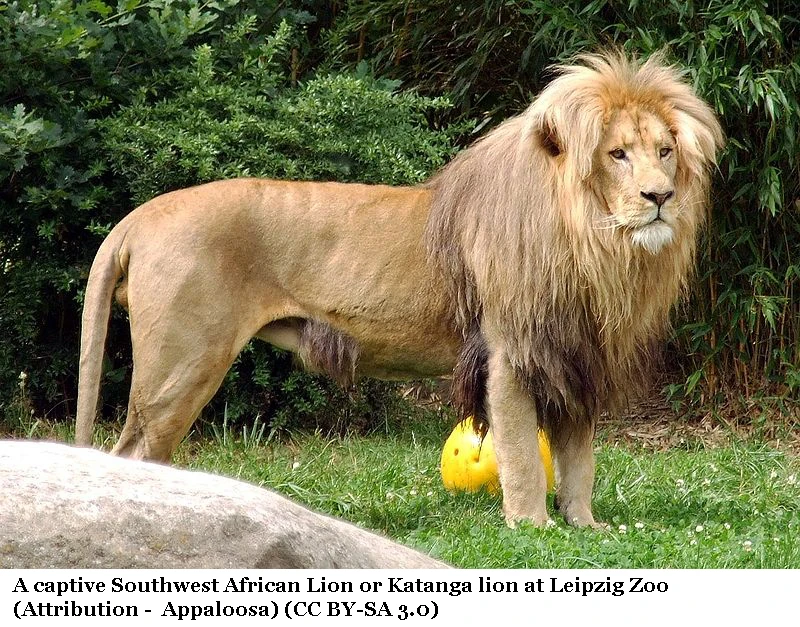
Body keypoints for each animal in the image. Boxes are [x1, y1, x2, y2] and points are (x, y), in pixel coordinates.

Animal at [76, 51, 723, 527]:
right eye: (617, 155)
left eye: (665, 151)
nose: (660, 196)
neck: (596, 246)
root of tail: (140, 216)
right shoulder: (511, 353)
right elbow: (520, 454)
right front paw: (532, 526)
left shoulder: (575, 355)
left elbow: (578, 459)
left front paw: (586, 527)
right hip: (183, 365)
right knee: (131, 454)